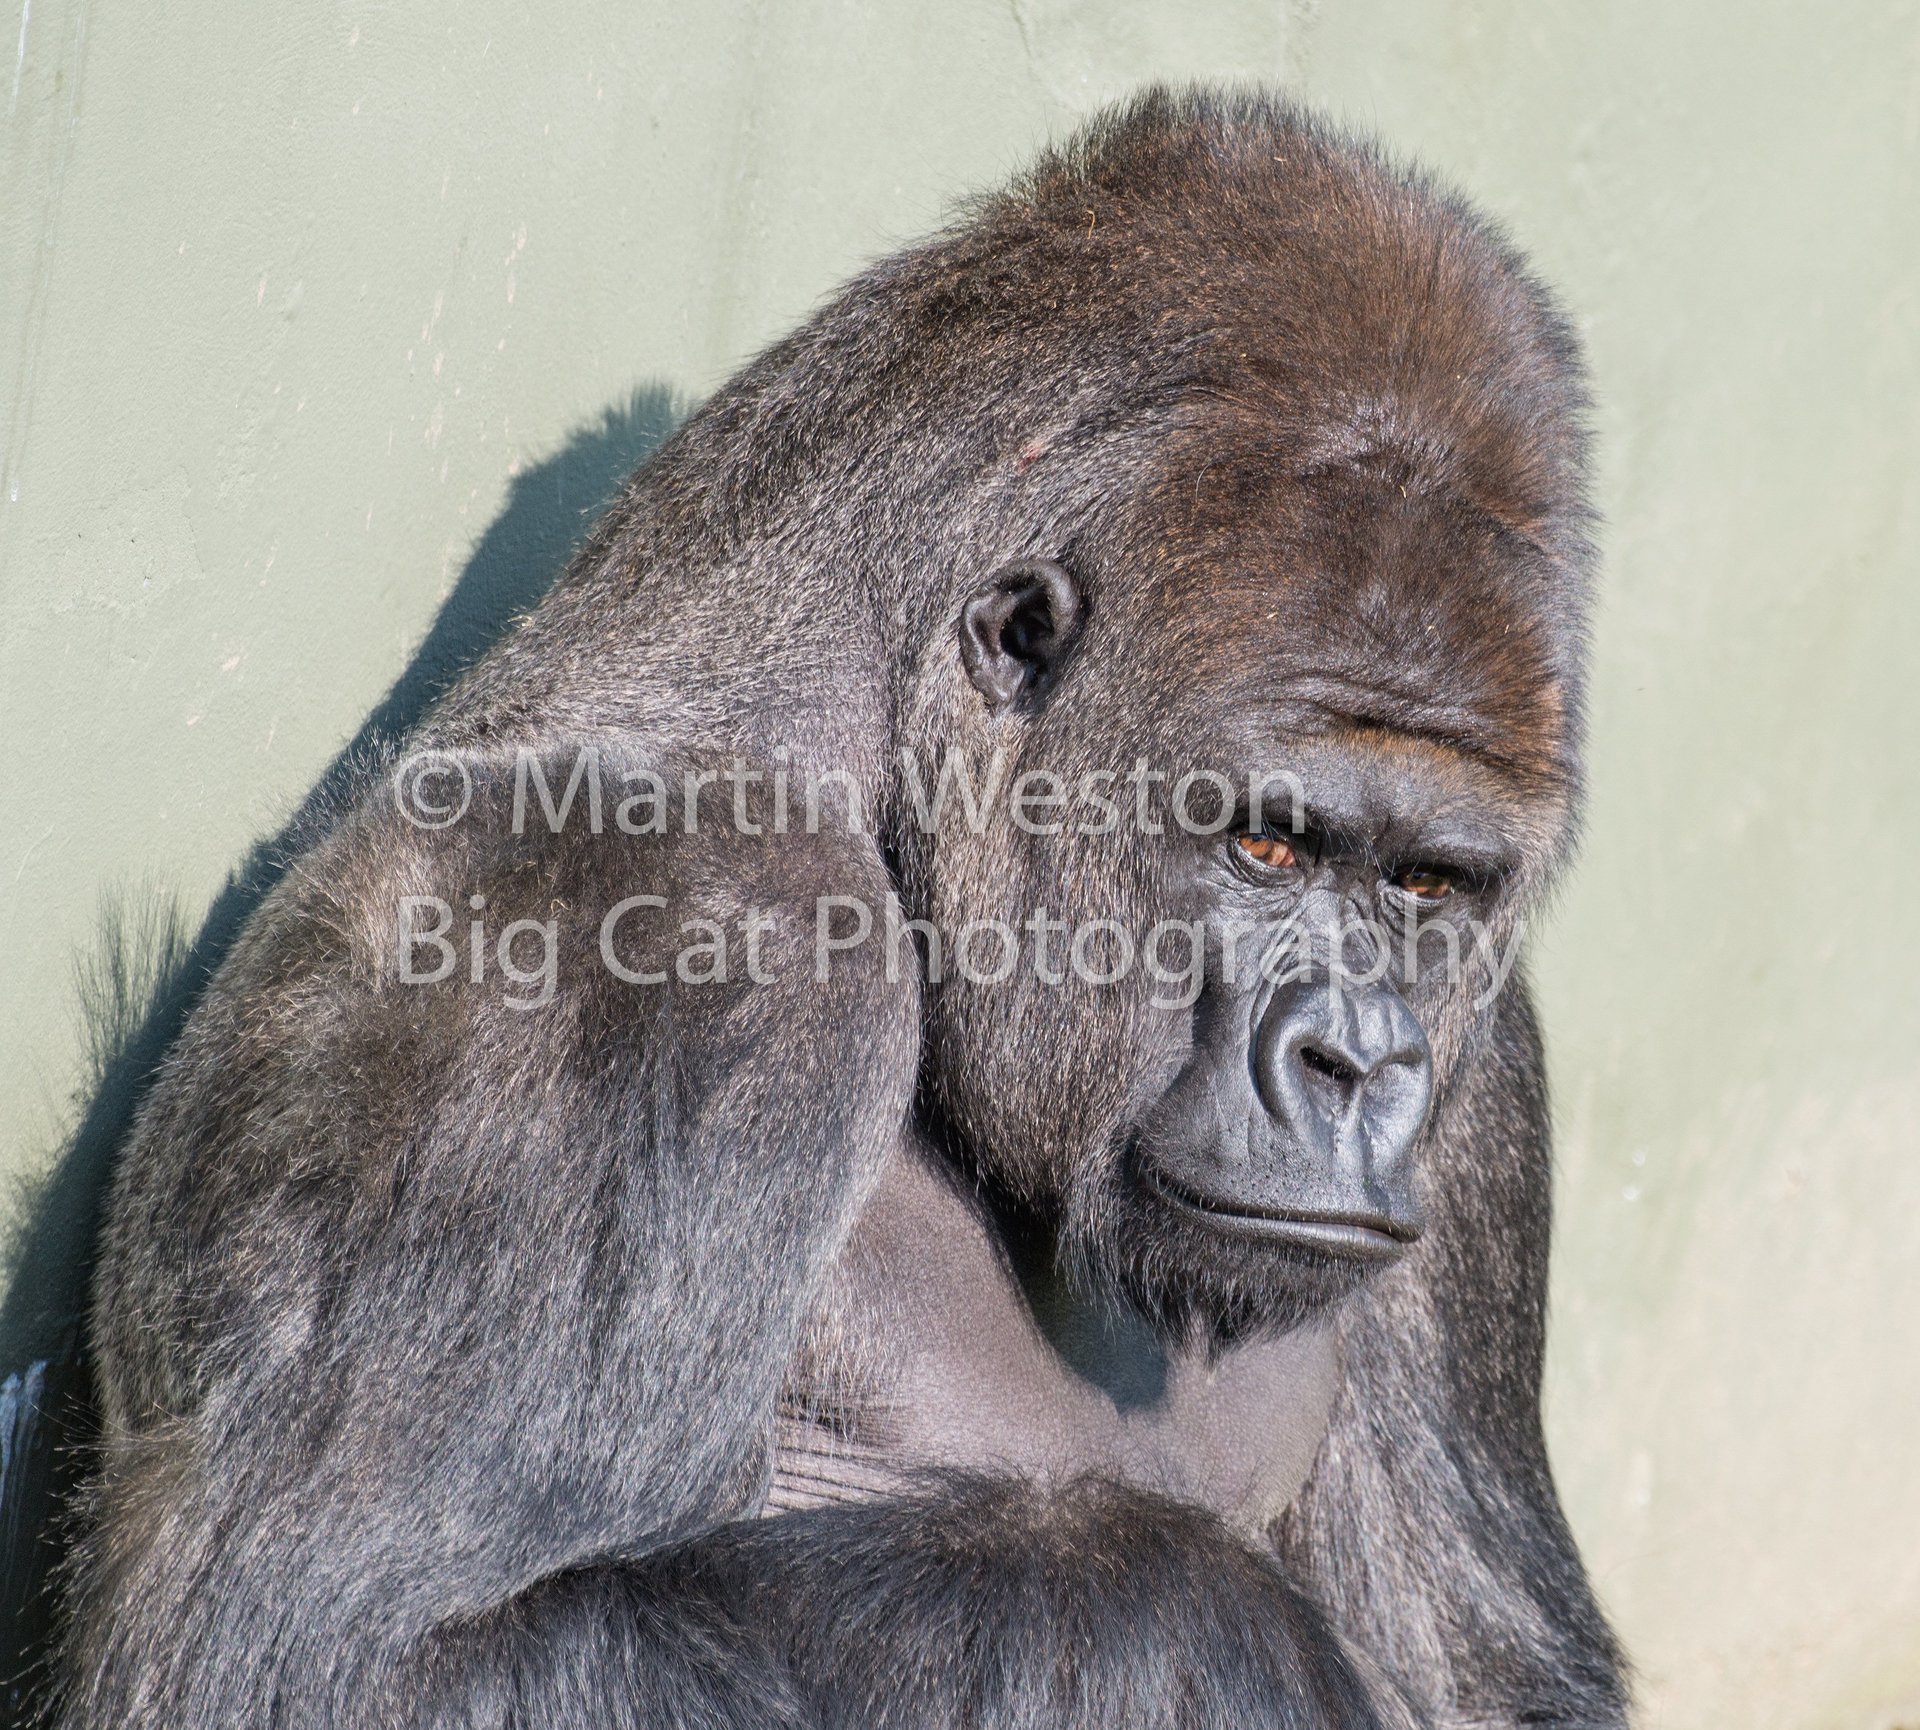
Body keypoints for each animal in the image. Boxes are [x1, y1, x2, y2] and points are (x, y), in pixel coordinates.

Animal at [55, 86, 1628, 1729]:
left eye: (1428, 884)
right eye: (1265, 845)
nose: (1361, 1062)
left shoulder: (1489, 1082)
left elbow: (1493, 1679)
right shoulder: (667, 915)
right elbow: (324, 1657)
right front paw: (1201, 1631)